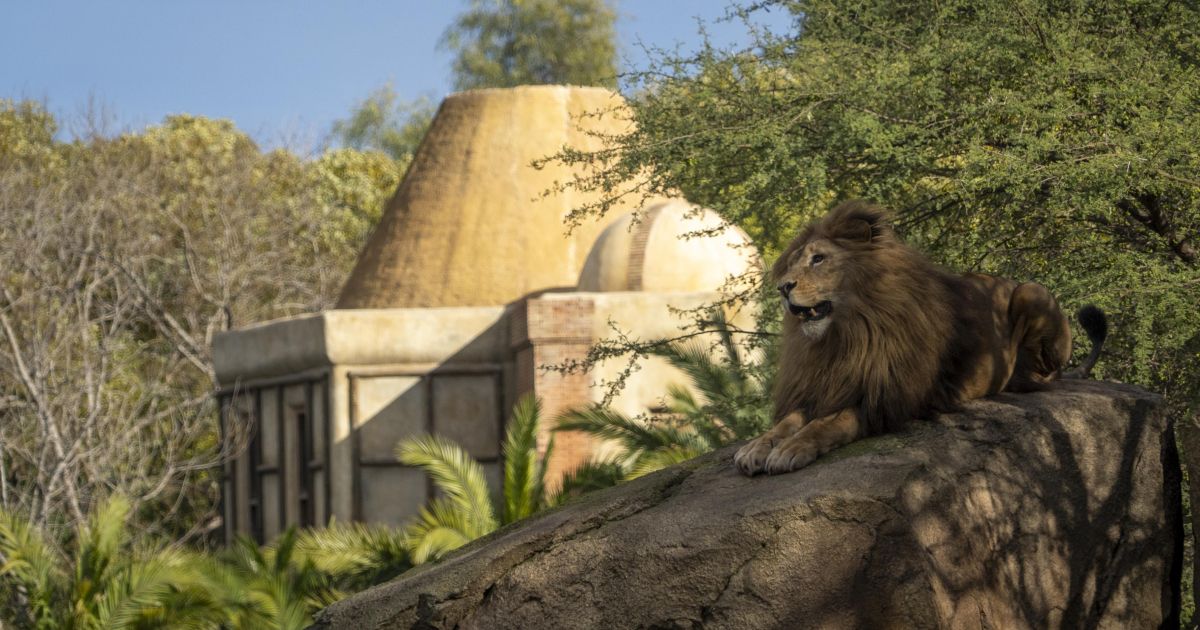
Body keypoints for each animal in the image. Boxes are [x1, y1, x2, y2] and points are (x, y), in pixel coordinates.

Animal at [734, 200, 1107, 476]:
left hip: (1031, 291)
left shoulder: (888, 400)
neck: (846, 334)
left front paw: (792, 448)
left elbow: (829, 423)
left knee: (1049, 373)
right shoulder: (820, 386)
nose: (783, 288)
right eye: (794, 263)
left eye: (819, 259)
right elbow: (789, 421)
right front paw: (757, 446)